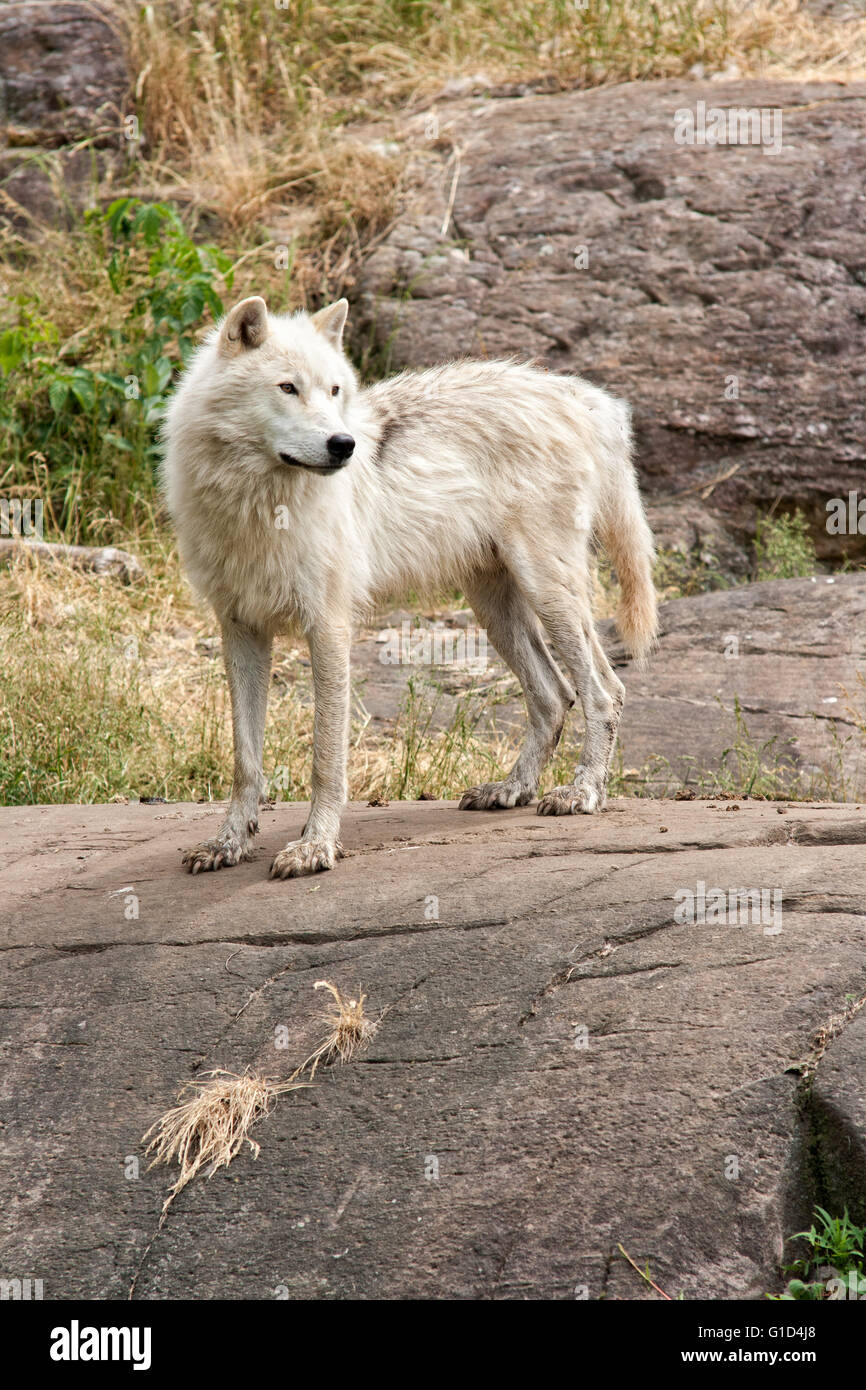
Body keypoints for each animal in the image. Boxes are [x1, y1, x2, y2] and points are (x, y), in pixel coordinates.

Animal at [162, 295, 657, 879]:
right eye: (287, 388)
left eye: (335, 391)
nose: (345, 445)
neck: (258, 505)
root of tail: (583, 399)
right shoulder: (240, 629)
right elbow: (245, 759)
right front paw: (229, 842)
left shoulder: (328, 627)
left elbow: (326, 757)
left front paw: (315, 846)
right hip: (495, 608)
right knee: (554, 695)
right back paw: (512, 789)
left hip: (547, 592)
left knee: (605, 691)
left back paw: (581, 793)